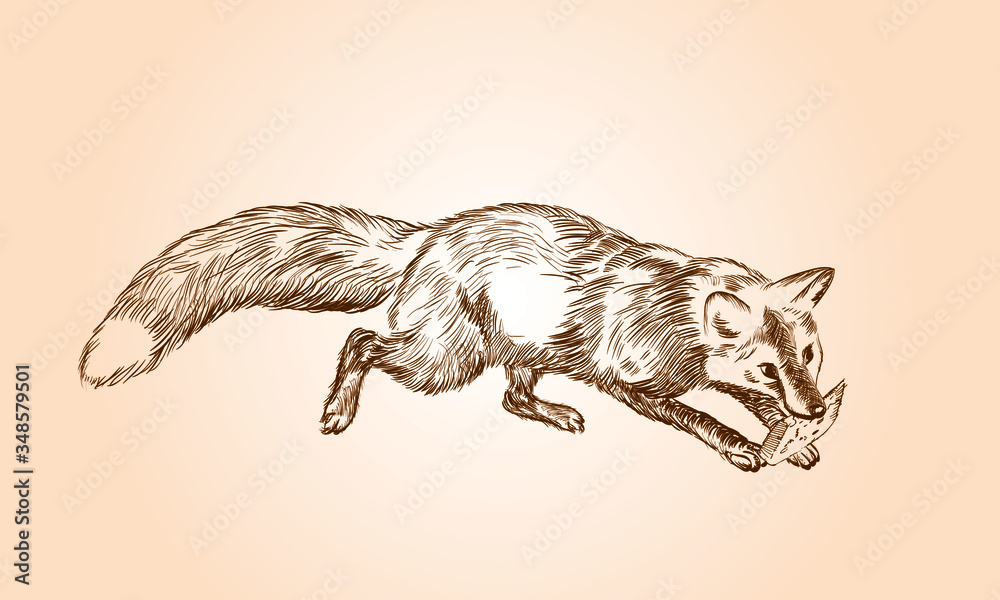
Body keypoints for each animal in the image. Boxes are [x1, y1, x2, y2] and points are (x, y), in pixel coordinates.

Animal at [79, 202, 837, 472]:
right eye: (767, 367)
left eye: (805, 357)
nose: (816, 407)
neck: (678, 309)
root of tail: (428, 236)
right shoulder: (632, 380)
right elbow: (698, 417)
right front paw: (744, 448)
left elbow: (744, 410)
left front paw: (792, 439)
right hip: (444, 362)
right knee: (360, 340)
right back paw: (338, 409)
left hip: (521, 353)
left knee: (512, 399)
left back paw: (553, 411)